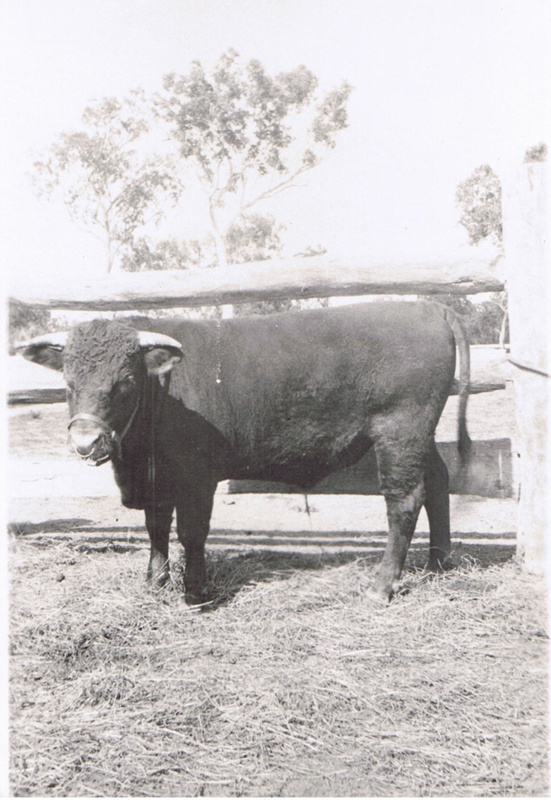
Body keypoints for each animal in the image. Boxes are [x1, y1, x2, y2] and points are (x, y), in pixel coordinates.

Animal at [17, 301, 470, 604]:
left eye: (125, 381)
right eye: (68, 383)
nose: (86, 441)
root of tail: (427, 306)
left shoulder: (197, 477)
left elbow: (191, 532)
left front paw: (195, 591)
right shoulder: (158, 479)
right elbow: (156, 526)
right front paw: (155, 581)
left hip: (400, 432)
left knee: (404, 500)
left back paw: (381, 586)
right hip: (421, 436)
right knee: (438, 482)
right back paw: (439, 562)